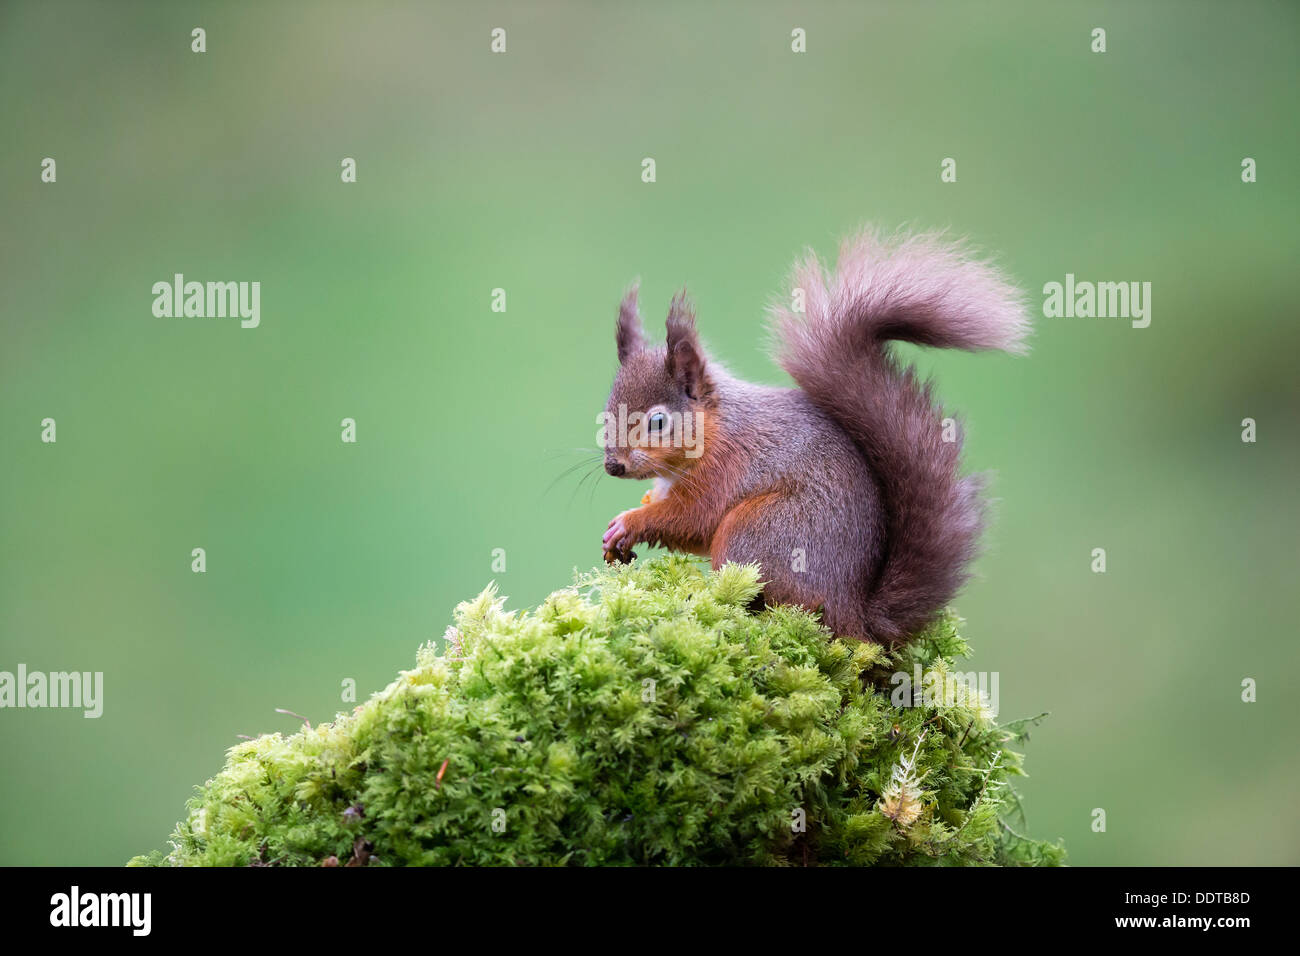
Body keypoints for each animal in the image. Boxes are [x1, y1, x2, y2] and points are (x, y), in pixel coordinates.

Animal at [599, 228, 1029, 646]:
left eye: (658, 422)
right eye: (606, 412)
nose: (613, 465)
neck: (714, 430)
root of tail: (854, 615)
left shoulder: (726, 469)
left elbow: (691, 518)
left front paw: (629, 522)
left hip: (761, 531)